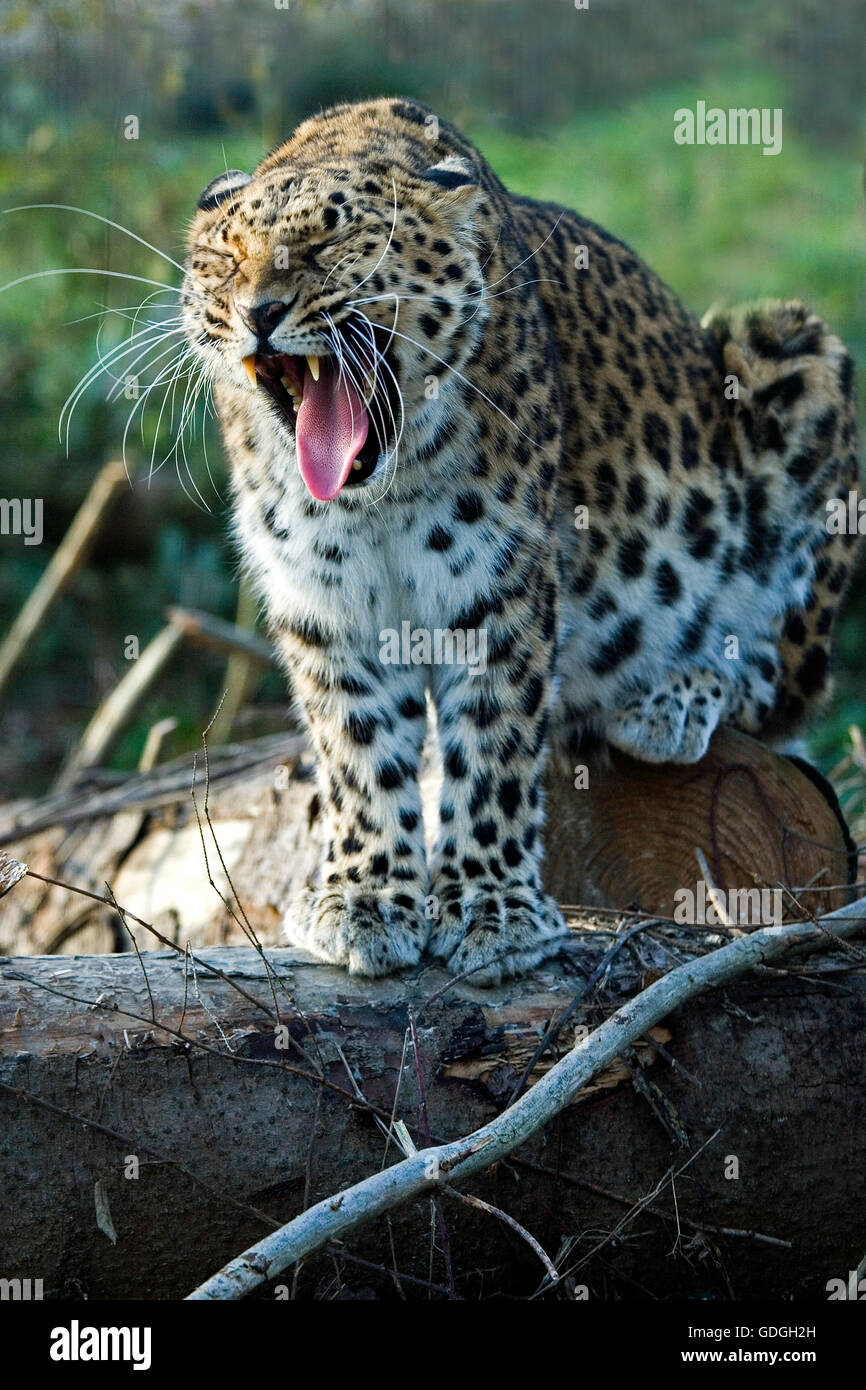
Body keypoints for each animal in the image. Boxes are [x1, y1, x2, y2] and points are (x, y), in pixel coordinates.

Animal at [181, 96, 861, 986]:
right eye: (227, 259)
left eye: (330, 244)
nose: (258, 313)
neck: (379, 497)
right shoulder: (324, 608)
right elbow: (358, 753)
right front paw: (365, 899)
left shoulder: (499, 591)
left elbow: (493, 748)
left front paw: (492, 908)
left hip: (795, 354)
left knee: (782, 683)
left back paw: (673, 693)